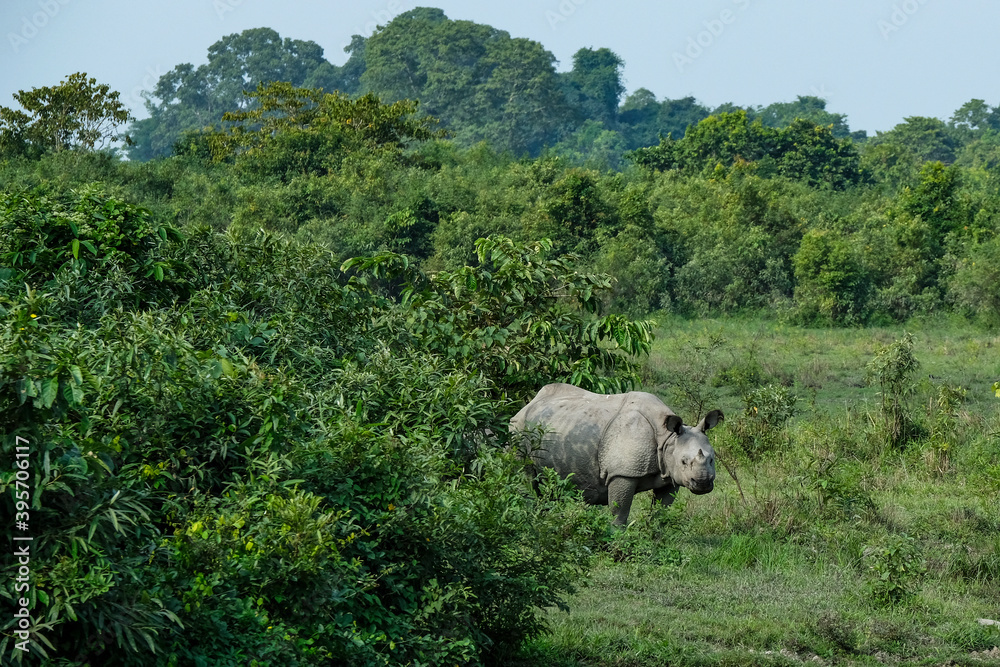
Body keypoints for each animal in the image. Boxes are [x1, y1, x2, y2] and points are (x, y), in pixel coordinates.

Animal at [510, 383, 723, 525]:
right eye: (684, 461)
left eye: (712, 460)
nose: (703, 483)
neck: (668, 438)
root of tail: (528, 404)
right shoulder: (622, 472)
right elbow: (619, 511)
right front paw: (616, 541)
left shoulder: (670, 475)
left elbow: (661, 510)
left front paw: (656, 535)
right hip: (518, 431)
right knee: (526, 477)